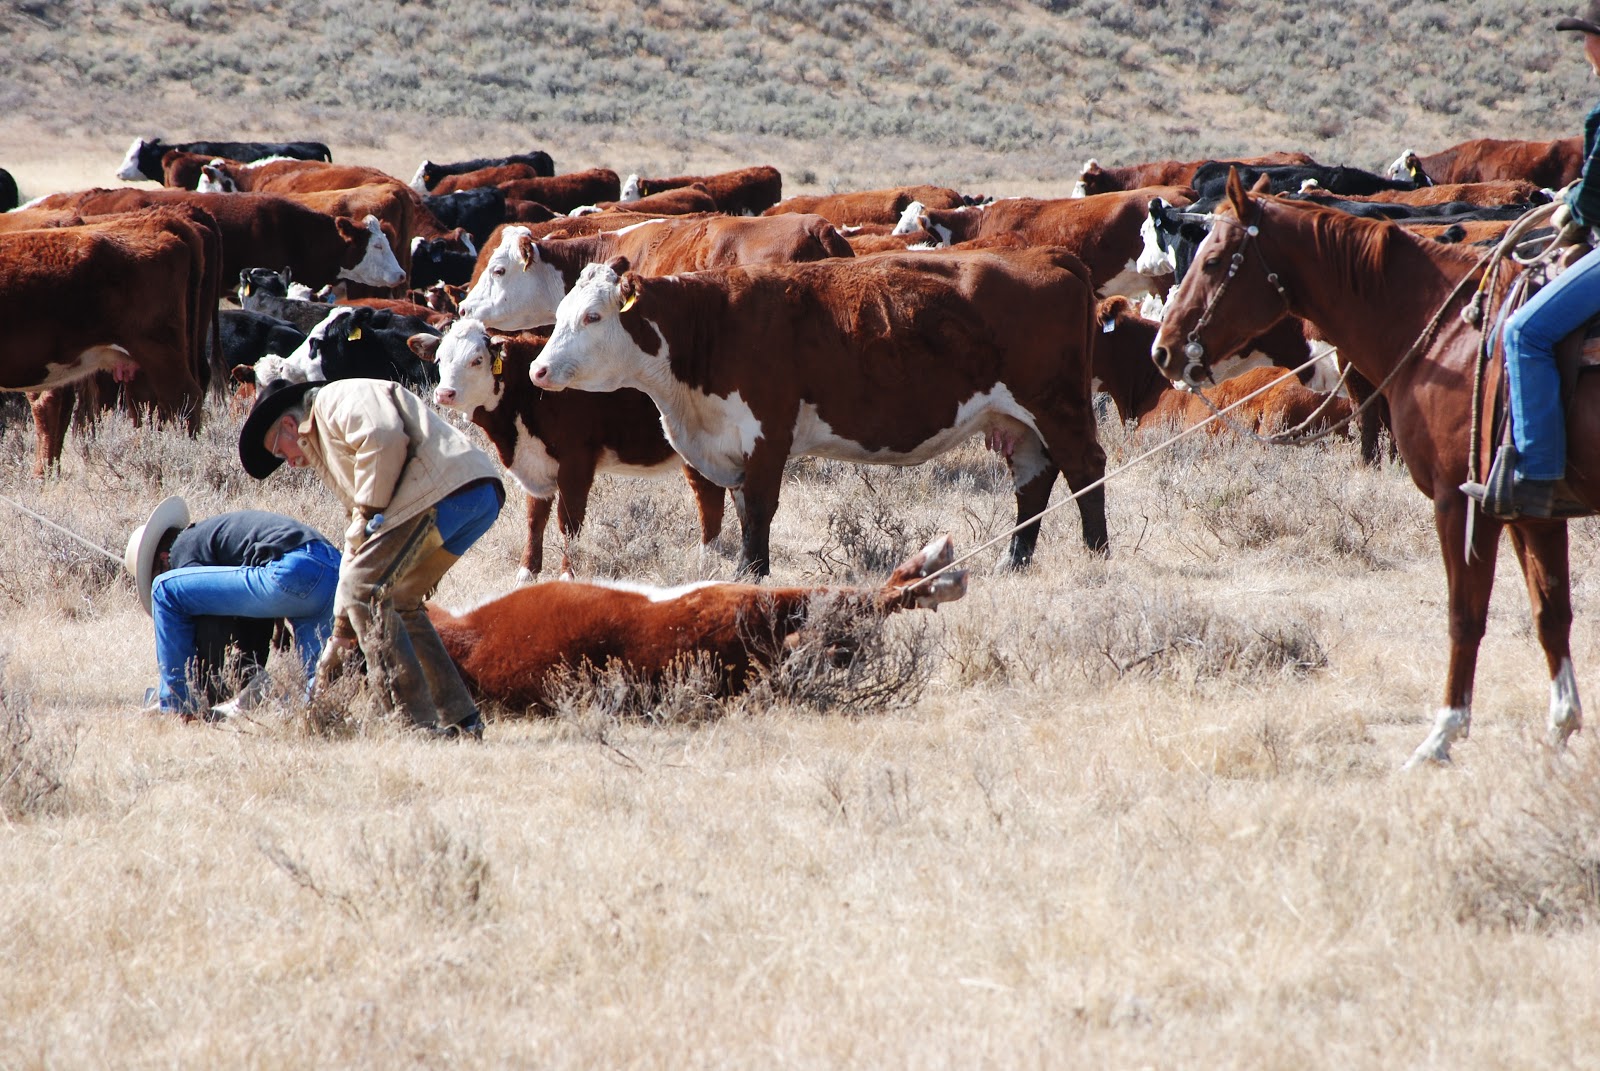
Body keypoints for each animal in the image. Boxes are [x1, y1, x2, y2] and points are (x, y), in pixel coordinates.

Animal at [412, 321, 728, 580]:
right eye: (440, 360)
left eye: (476, 360)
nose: (444, 394)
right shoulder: (535, 464)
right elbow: (535, 519)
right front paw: (526, 573)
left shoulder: (576, 462)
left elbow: (568, 521)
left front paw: (567, 574)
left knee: (708, 500)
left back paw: (706, 562)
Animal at [528, 250, 1108, 575]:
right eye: (559, 314)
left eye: (593, 315)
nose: (538, 369)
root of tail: (1050, 257)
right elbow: (743, 511)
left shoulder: (767, 434)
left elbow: (761, 509)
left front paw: (750, 575)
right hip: (1018, 421)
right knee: (1033, 480)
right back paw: (1013, 562)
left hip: (1057, 406)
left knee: (1085, 470)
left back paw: (1097, 555)